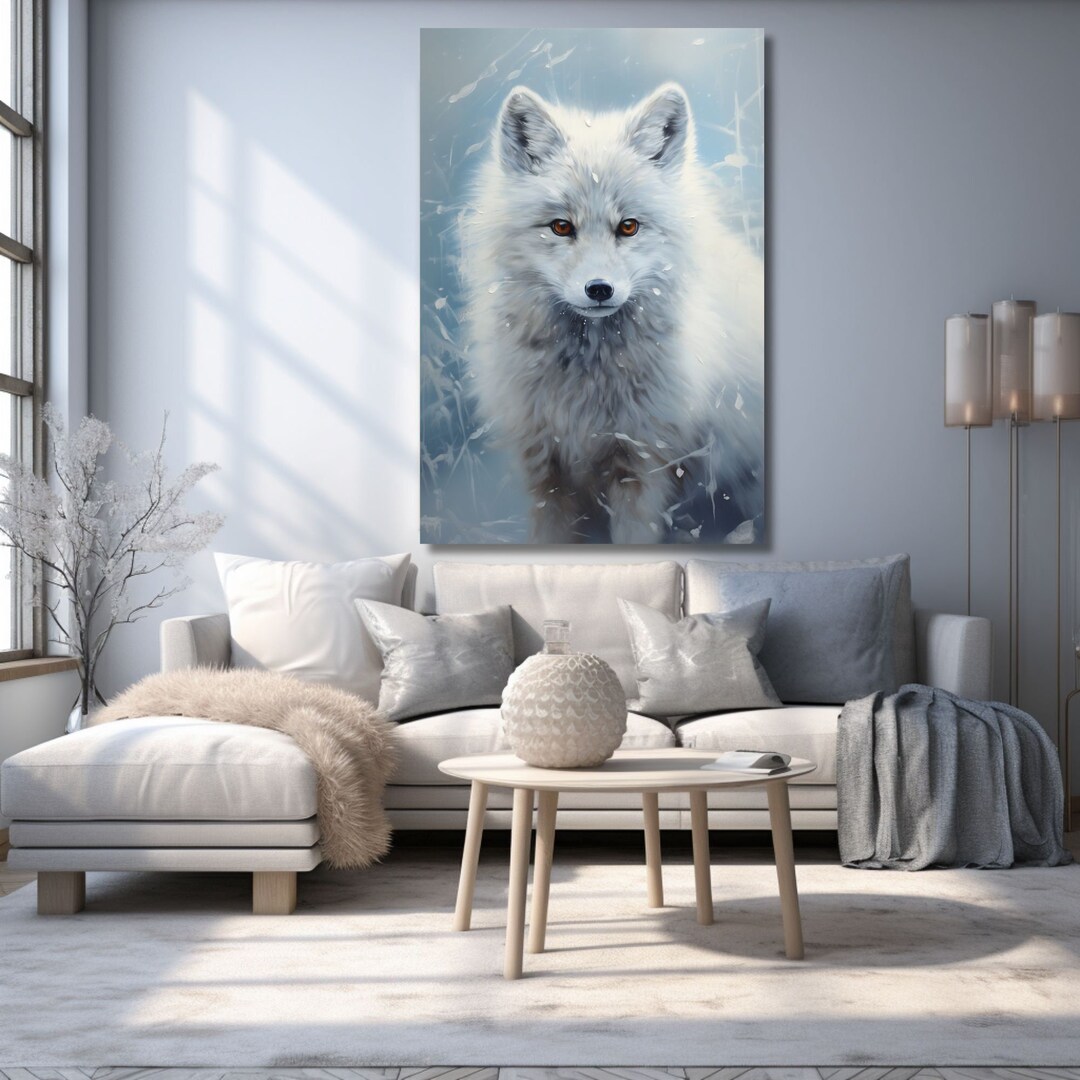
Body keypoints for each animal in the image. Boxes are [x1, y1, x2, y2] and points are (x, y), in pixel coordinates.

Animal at [460, 82, 764, 544]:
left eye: (629, 227)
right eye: (561, 226)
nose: (599, 289)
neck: (586, 387)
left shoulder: (644, 464)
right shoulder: (546, 469)